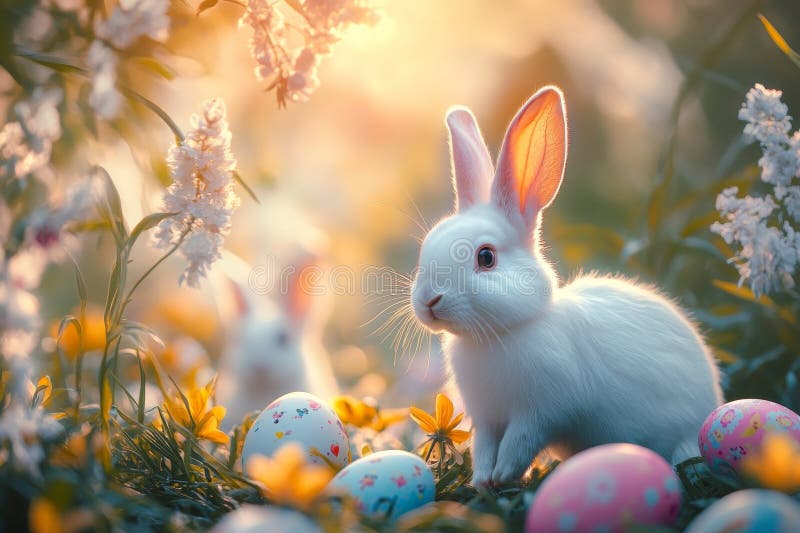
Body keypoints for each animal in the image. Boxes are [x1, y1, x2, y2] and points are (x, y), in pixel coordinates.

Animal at [410, 86, 724, 486]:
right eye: (426, 246)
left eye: (486, 257)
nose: (429, 301)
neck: (499, 334)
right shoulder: (487, 421)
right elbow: (484, 448)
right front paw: (482, 481)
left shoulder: (540, 413)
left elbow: (518, 444)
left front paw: (502, 477)